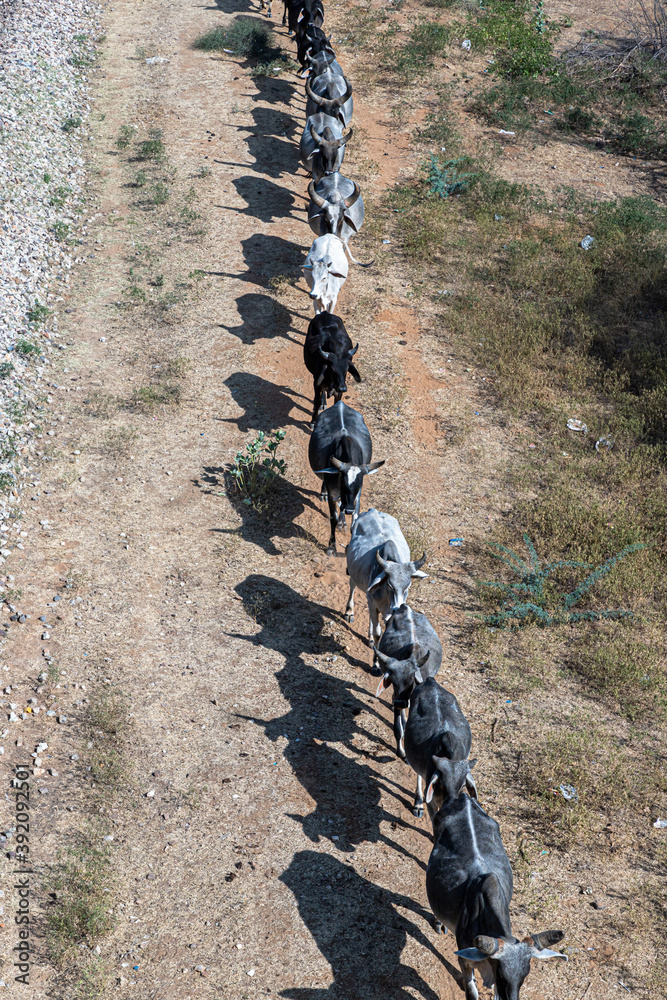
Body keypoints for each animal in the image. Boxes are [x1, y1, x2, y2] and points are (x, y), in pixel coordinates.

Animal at [308, 402, 384, 555]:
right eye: (342, 483)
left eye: (359, 484)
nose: (349, 510)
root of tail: (340, 403)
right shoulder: (334, 493)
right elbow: (333, 517)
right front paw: (331, 546)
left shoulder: (356, 497)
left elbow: (354, 521)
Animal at [345, 509, 427, 666]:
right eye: (389, 584)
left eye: (408, 586)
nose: (396, 608)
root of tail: (372, 510)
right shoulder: (373, 602)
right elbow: (378, 633)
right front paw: (376, 664)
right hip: (354, 573)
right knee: (352, 585)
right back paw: (349, 611)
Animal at [374, 604, 442, 758]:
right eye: (393, 681)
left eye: (411, 682)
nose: (400, 702)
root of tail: (405, 607)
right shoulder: (397, 696)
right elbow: (397, 729)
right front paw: (401, 752)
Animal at [427, 778, 567, 1000]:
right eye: (501, 973)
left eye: (525, 975)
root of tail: (463, 797)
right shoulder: (465, 960)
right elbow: (471, 991)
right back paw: (439, 923)